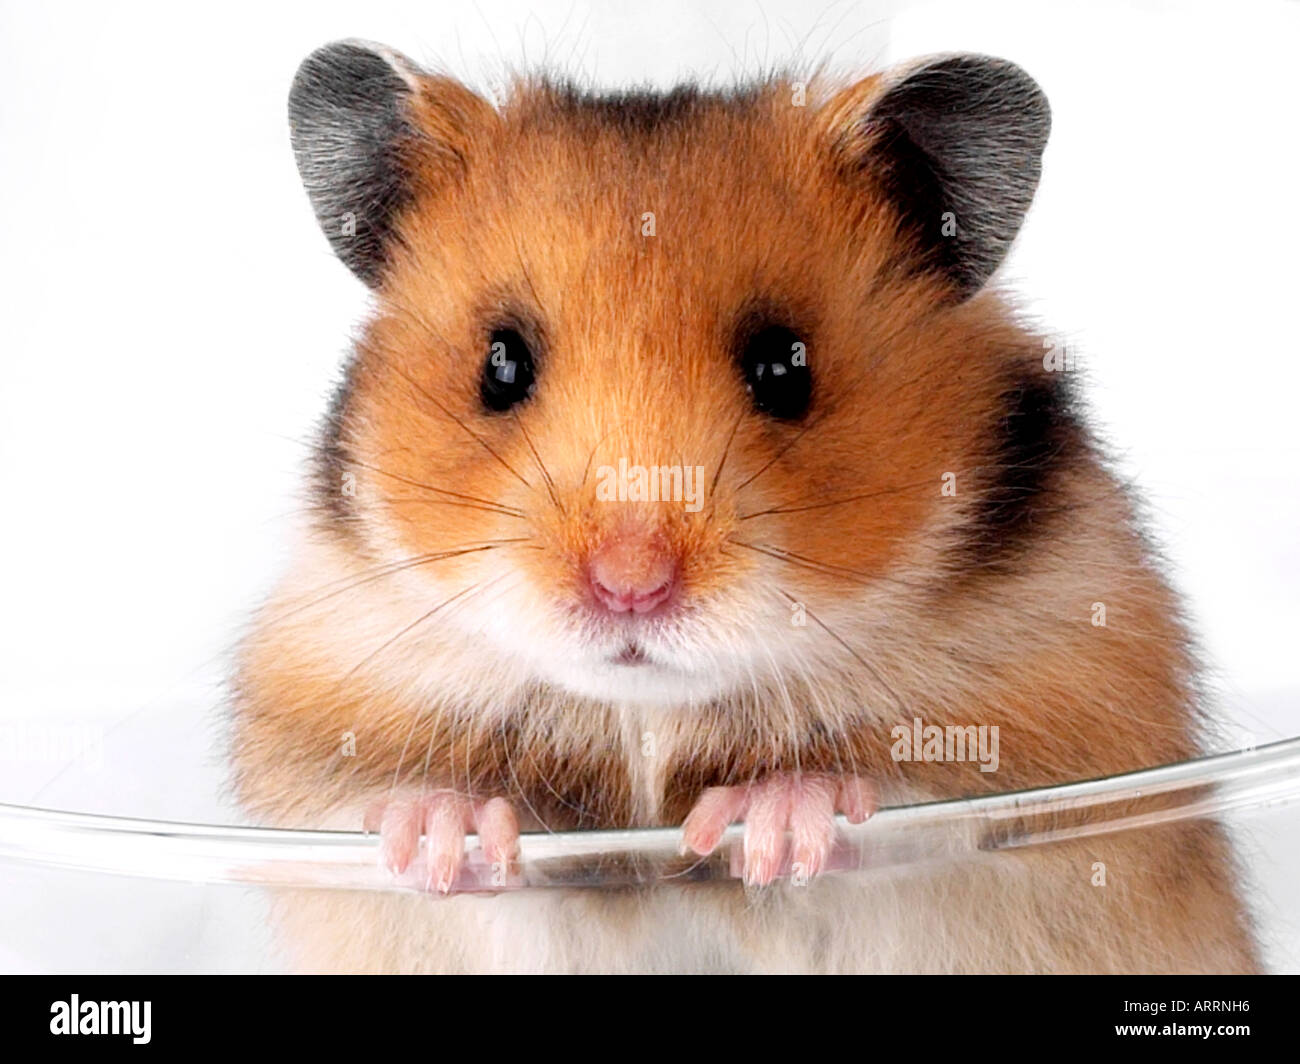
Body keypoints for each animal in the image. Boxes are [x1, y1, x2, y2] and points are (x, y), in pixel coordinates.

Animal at [230, 39, 1259, 973]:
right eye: (502, 363)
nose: (629, 587)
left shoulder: (1042, 793)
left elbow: (893, 798)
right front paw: (445, 834)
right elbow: (424, 823)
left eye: (782, 367)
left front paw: (772, 821)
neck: (646, 724)